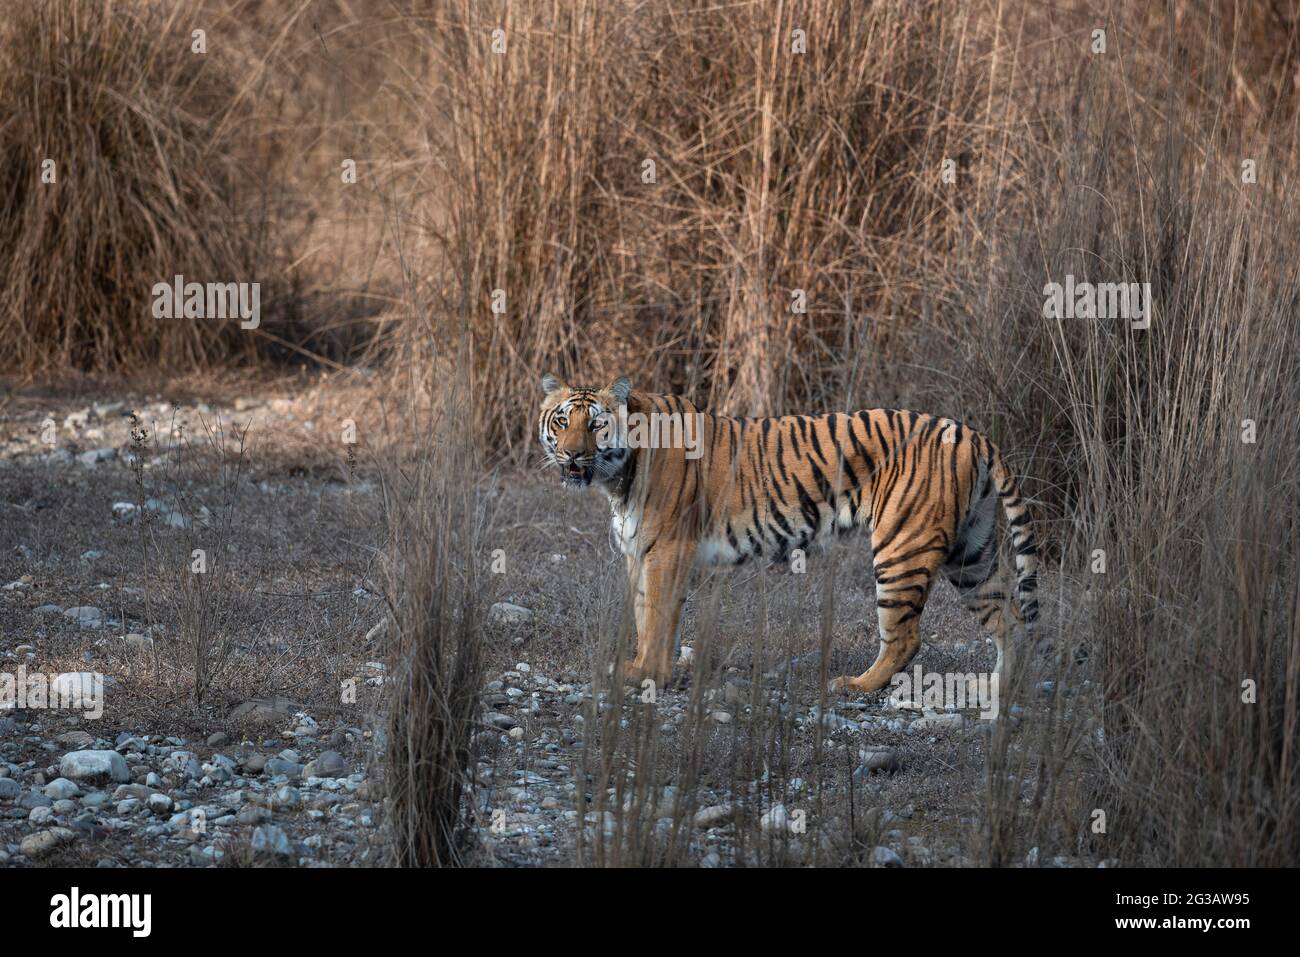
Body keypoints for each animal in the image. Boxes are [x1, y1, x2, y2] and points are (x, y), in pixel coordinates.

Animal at [538, 373, 1039, 693]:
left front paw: (646, 675)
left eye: (596, 423)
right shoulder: (639, 552)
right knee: (1008, 616)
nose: (573, 455)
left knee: (906, 636)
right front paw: (645, 668)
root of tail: (972, 433)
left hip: (903, 546)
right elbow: (646, 616)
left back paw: (856, 685)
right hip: (971, 552)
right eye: (562, 421)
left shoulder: (665, 550)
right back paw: (998, 688)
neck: (616, 478)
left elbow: (657, 617)